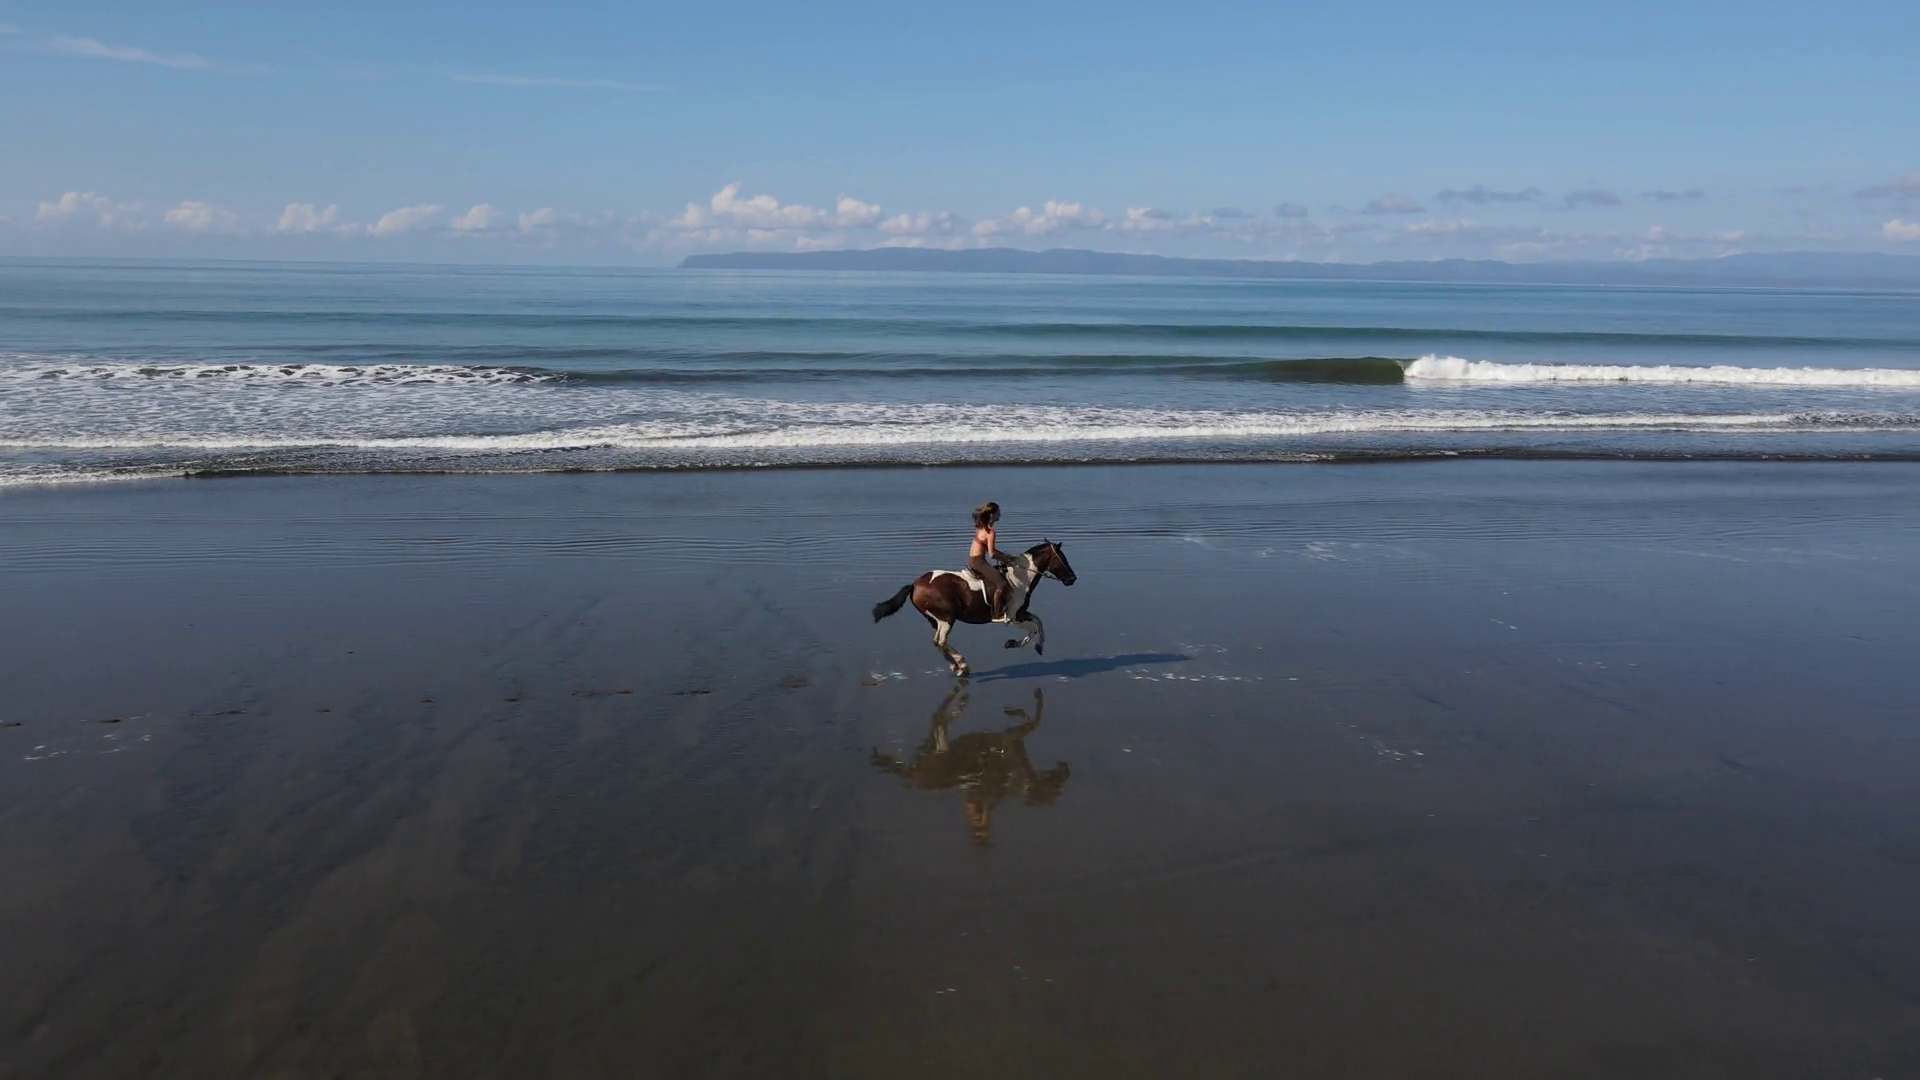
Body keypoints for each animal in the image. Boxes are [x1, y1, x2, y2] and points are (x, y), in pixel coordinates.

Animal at [871, 540, 1077, 677]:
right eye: (1062, 559)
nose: (1072, 579)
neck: (1021, 578)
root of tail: (914, 584)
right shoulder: (1011, 617)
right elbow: (1033, 628)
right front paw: (1013, 643)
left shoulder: (1021, 613)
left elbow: (1039, 622)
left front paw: (1039, 647)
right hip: (947, 618)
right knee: (940, 641)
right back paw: (961, 666)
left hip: (935, 619)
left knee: (938, 641)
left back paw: (957, 664)